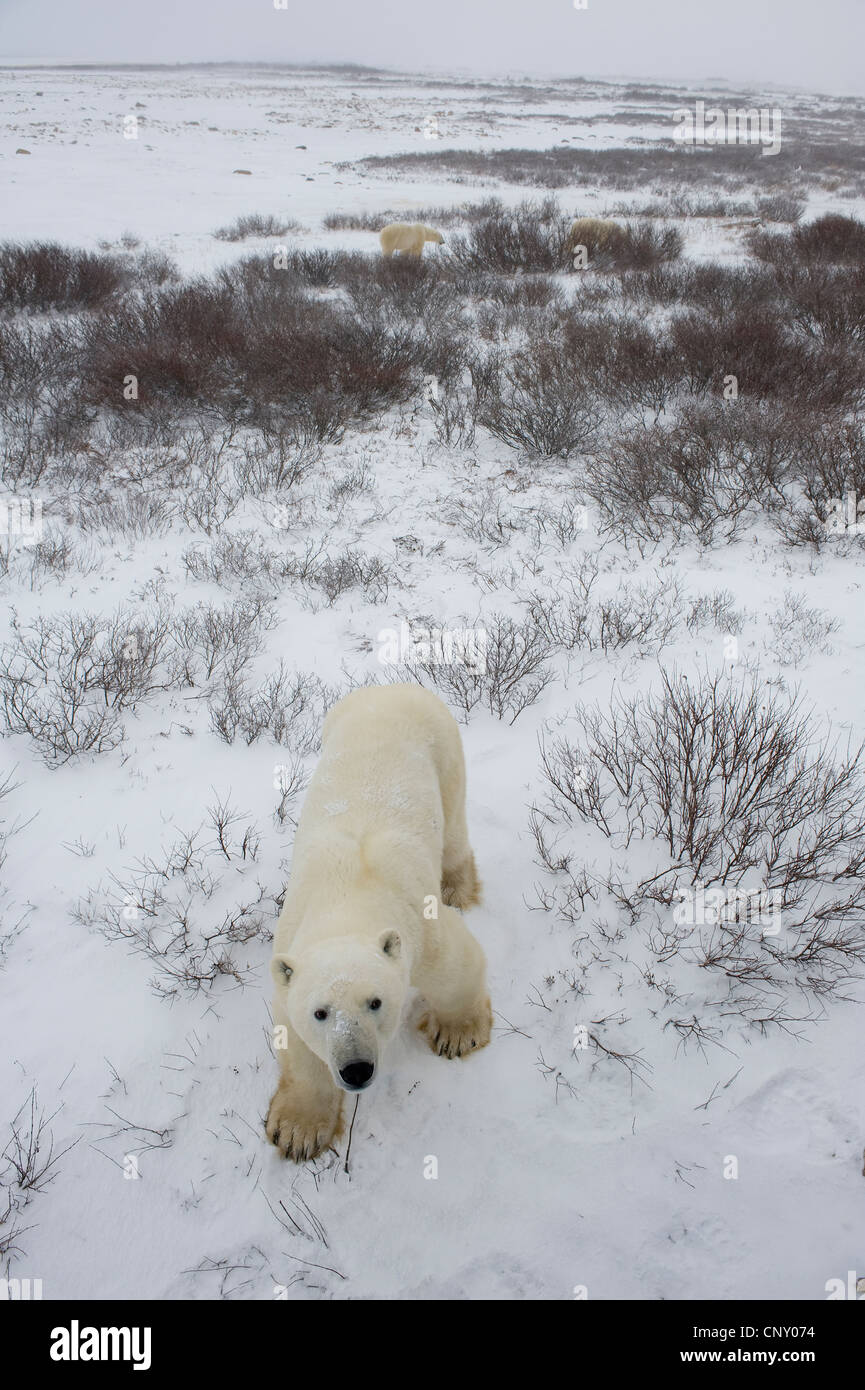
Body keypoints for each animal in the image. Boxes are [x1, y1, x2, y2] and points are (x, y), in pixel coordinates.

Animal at [266, 683, 491, 1162]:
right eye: (321, 1012)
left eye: (376, 1002)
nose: (356, 1069)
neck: (349, 900)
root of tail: (391, 686)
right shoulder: (290, 948)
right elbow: (294, 1039)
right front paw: (297, 1131)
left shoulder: (417, 925)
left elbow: (457, 967)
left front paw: (456, 1035)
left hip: (444, 748)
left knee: (454, 830)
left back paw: (459, 887)